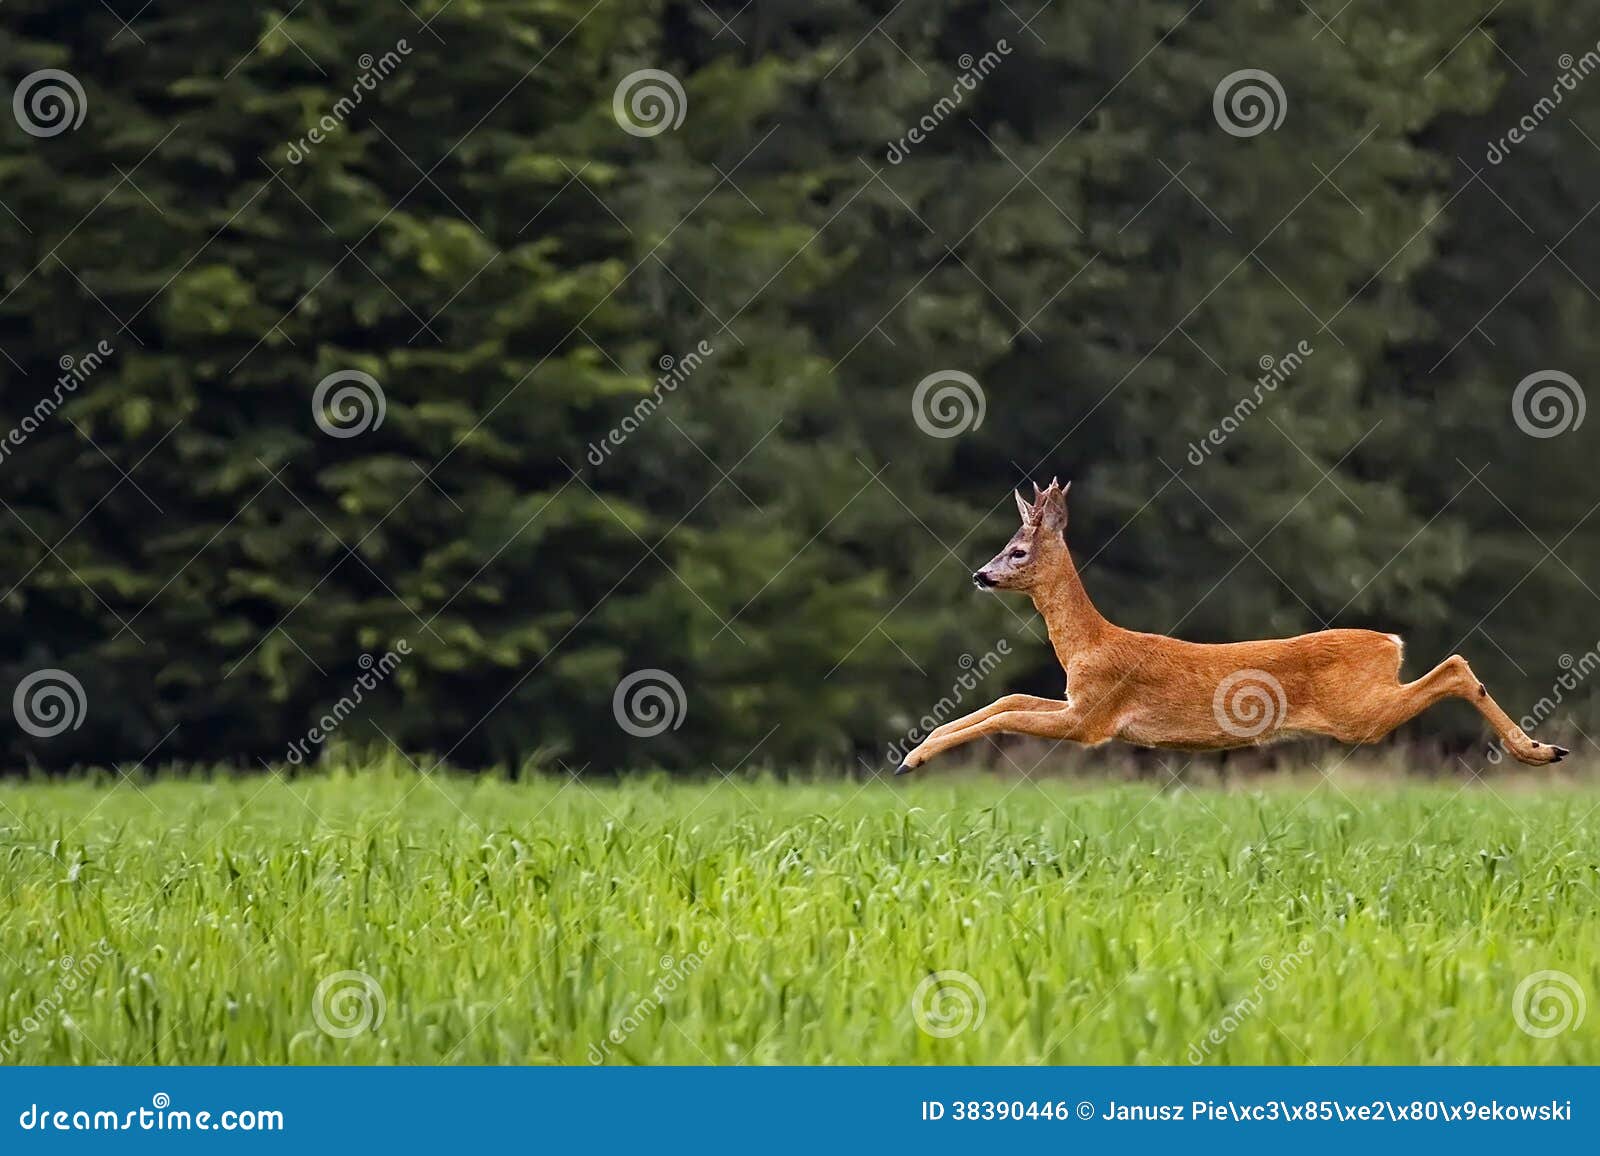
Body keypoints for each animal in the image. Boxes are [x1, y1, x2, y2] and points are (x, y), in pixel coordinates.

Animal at [894, 479, 1569, 775]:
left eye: (1017, 551)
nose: (980, 574)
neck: (1089, 645)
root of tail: (1389, 641)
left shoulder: (1094, 719)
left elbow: (1005, 715)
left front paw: (915, 758)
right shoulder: (1078, 702)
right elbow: (1005, 699)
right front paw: (915, 751)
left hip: (1358, 711)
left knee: (1452, 668)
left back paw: (1539, 750)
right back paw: (1541, 748)